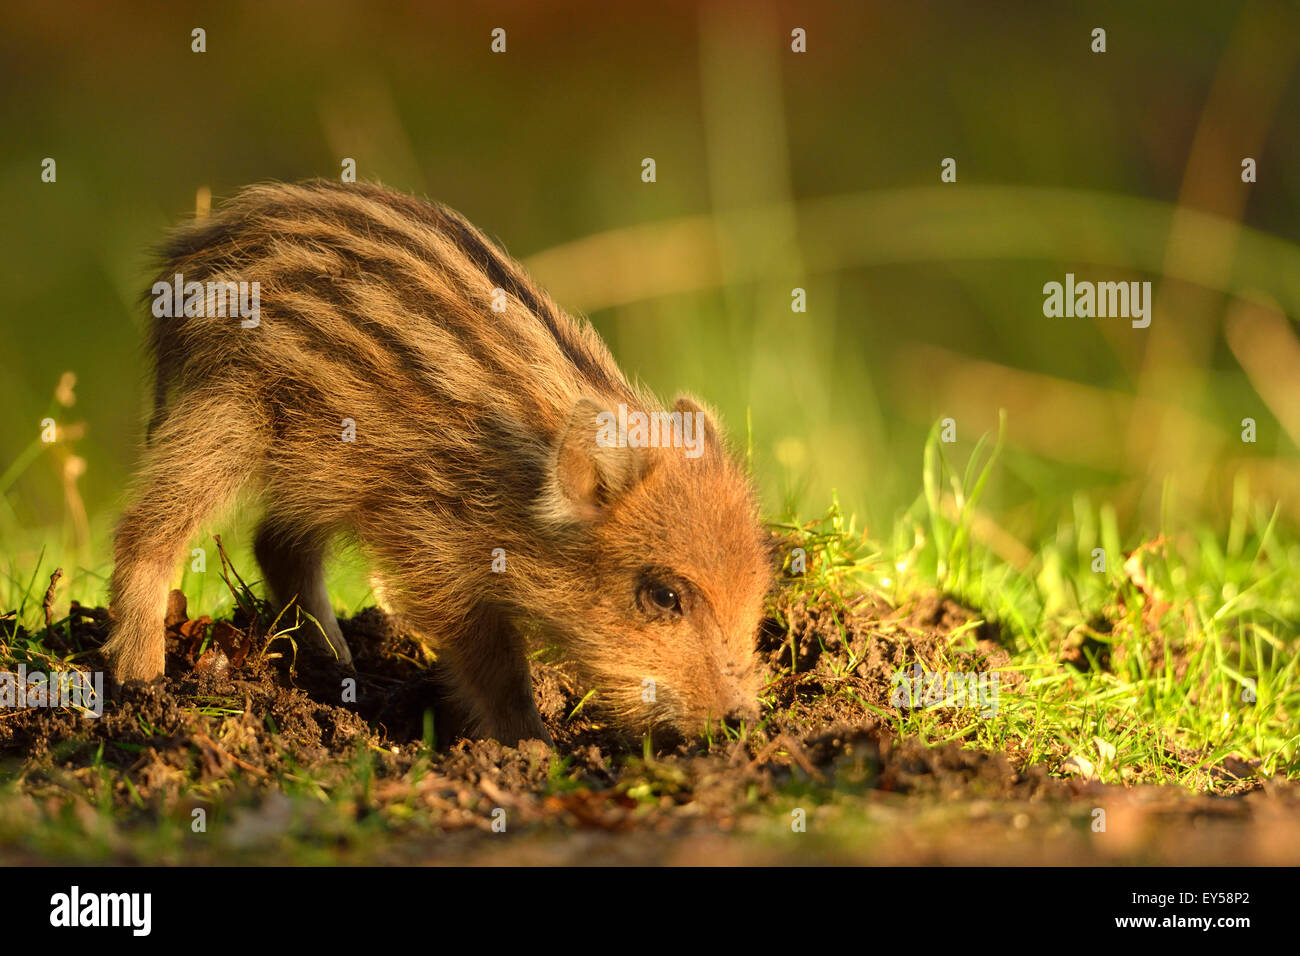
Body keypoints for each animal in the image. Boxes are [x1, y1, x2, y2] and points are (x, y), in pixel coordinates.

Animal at [104, 180, 773, 744]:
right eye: (662, 595)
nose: (742, 721)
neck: (515, 483)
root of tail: (190, 252)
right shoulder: (431, 546)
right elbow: (495, 662)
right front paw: (531, 746)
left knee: (276, 544)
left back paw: (338, 668)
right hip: (226, 412)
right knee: (146, 533)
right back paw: (142, 683)